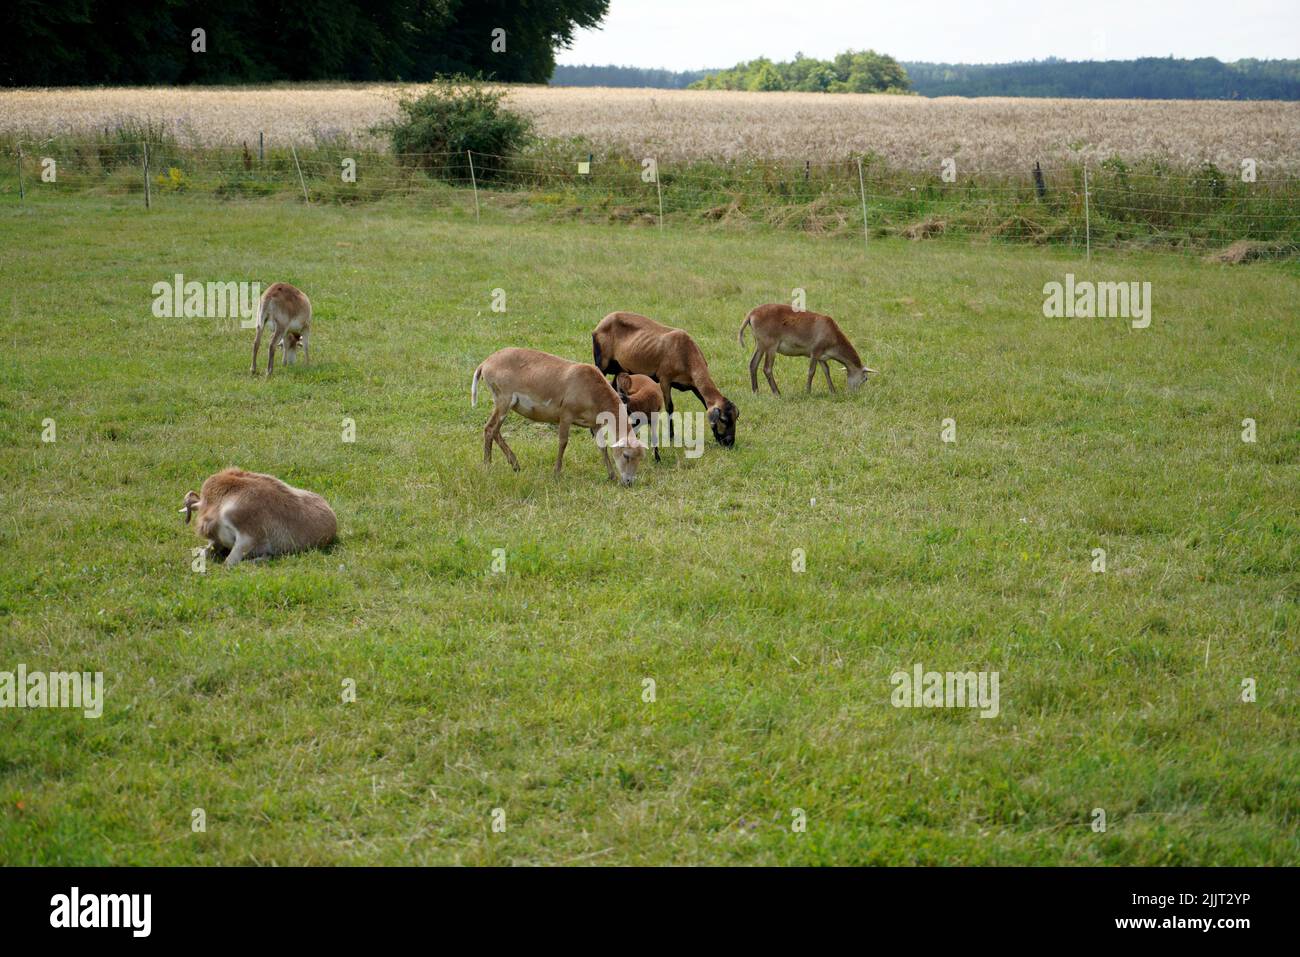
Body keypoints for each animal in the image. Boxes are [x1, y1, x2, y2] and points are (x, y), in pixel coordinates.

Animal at [471, 347, 647, 485]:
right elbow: (563, 442)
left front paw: (611, 476)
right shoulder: (566, 416)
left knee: (495, 431)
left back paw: (515, 465)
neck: (592, 389)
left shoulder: (594, 424)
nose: (629, 482)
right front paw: (556, 473)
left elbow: (602, 446)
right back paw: (488, 466)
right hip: (503, 401)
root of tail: (485, 363)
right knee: (489, 429)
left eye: (640, 457)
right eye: (626, 455)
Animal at [592, 311, 740, 448]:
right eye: (724, 419)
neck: (686, 354)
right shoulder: (664, 379)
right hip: (602, 362)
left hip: (620, 368)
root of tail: (601, 323)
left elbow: (705, 403)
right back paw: (594, 433)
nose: (729, 443)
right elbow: (670, 407)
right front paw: (671, 437)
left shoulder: (694, 386)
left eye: (736, 418)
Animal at [738, 303, 876, 395]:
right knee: (767, 368)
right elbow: (811, 371)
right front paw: (808, 391)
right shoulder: (814, 352)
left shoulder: (822, 356)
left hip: (759, 344)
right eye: (865, 378)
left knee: (753, 364)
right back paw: (777, 393)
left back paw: (755, 391)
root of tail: (751, 314)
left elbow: (826, 370)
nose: (854, 394)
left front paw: (833, 391)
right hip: (771, 345)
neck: (832, 333)